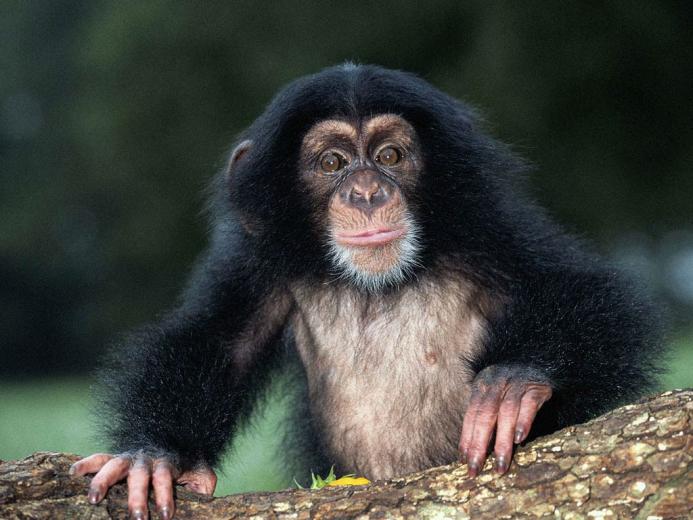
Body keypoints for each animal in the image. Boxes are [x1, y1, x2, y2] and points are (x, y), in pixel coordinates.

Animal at [70, 64, 663, 519]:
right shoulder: (254, 261)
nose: (367, 191)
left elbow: (579, 291)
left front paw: (515, 383)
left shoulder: (486, 228)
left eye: (390, 155)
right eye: (332, 162)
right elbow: (218, 342)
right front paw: (153, 455)